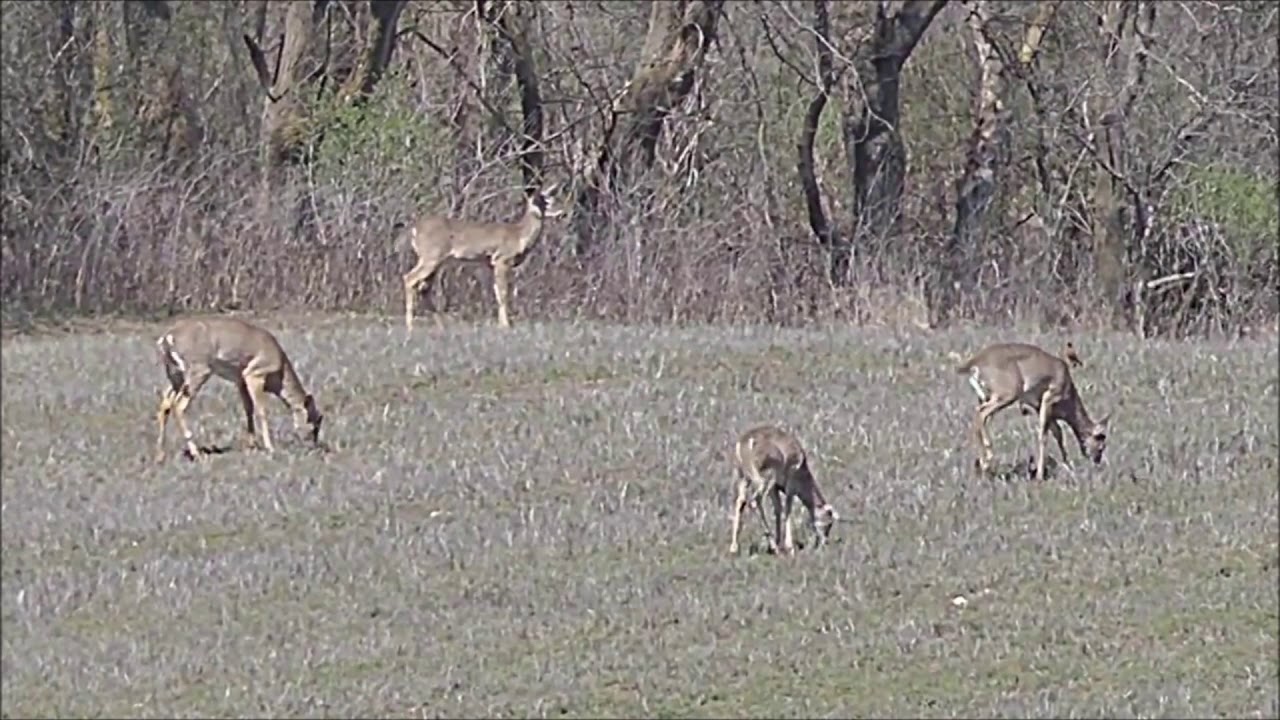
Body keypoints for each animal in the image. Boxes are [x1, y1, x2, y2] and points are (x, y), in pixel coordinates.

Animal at [154, 317, 324, 464]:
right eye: (314, 422)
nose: (314, 446)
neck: (280, 372)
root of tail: (167, 338)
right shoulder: (254, 375)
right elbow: (261, 411)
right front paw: (270, 448)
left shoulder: (240, 380)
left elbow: (248, 409)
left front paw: (252, 445)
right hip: (198, 371)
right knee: (179, 405)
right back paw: (198, 455)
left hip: (176, 376)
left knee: (165, 404)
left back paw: (161, 455)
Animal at [401, 183, 565, 332]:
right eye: (542, 201)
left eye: (552, 199)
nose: (561, 212)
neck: (519, 236)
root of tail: (415, 229)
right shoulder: (502, 259)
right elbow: (503, 293)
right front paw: (506, 326)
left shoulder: (491, 264)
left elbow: (497, 291)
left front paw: (502, 324)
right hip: (431, 256)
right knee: (410, 278)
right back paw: (410, 327)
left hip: (435, 260)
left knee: (424, 287)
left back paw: (441, 326)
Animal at [729, 425, 839, 556]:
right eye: (829, 522)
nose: (825, 542)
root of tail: (747, 441)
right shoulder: (789, 487)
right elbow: (787, 510)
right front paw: (789, 547)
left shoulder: (774, 489)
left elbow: (778, 509)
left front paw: (779, 541)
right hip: (764, 480)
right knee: (755, 501)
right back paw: (774, 547)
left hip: (744, 478)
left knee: (741, 502)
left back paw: (734, 548)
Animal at [953, 342, 1110, 481]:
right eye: (1101, 445)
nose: (1097, 461)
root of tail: (976, 361)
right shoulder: (1048, 399)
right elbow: (1044, 435)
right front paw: (1040, 476)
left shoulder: (1037, 406)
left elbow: (1058, 433)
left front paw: (1067, 465)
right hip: (1006, 395)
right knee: (980, 414)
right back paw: (987, 459)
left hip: (984, 397)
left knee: (979, 419)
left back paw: (983, 466)